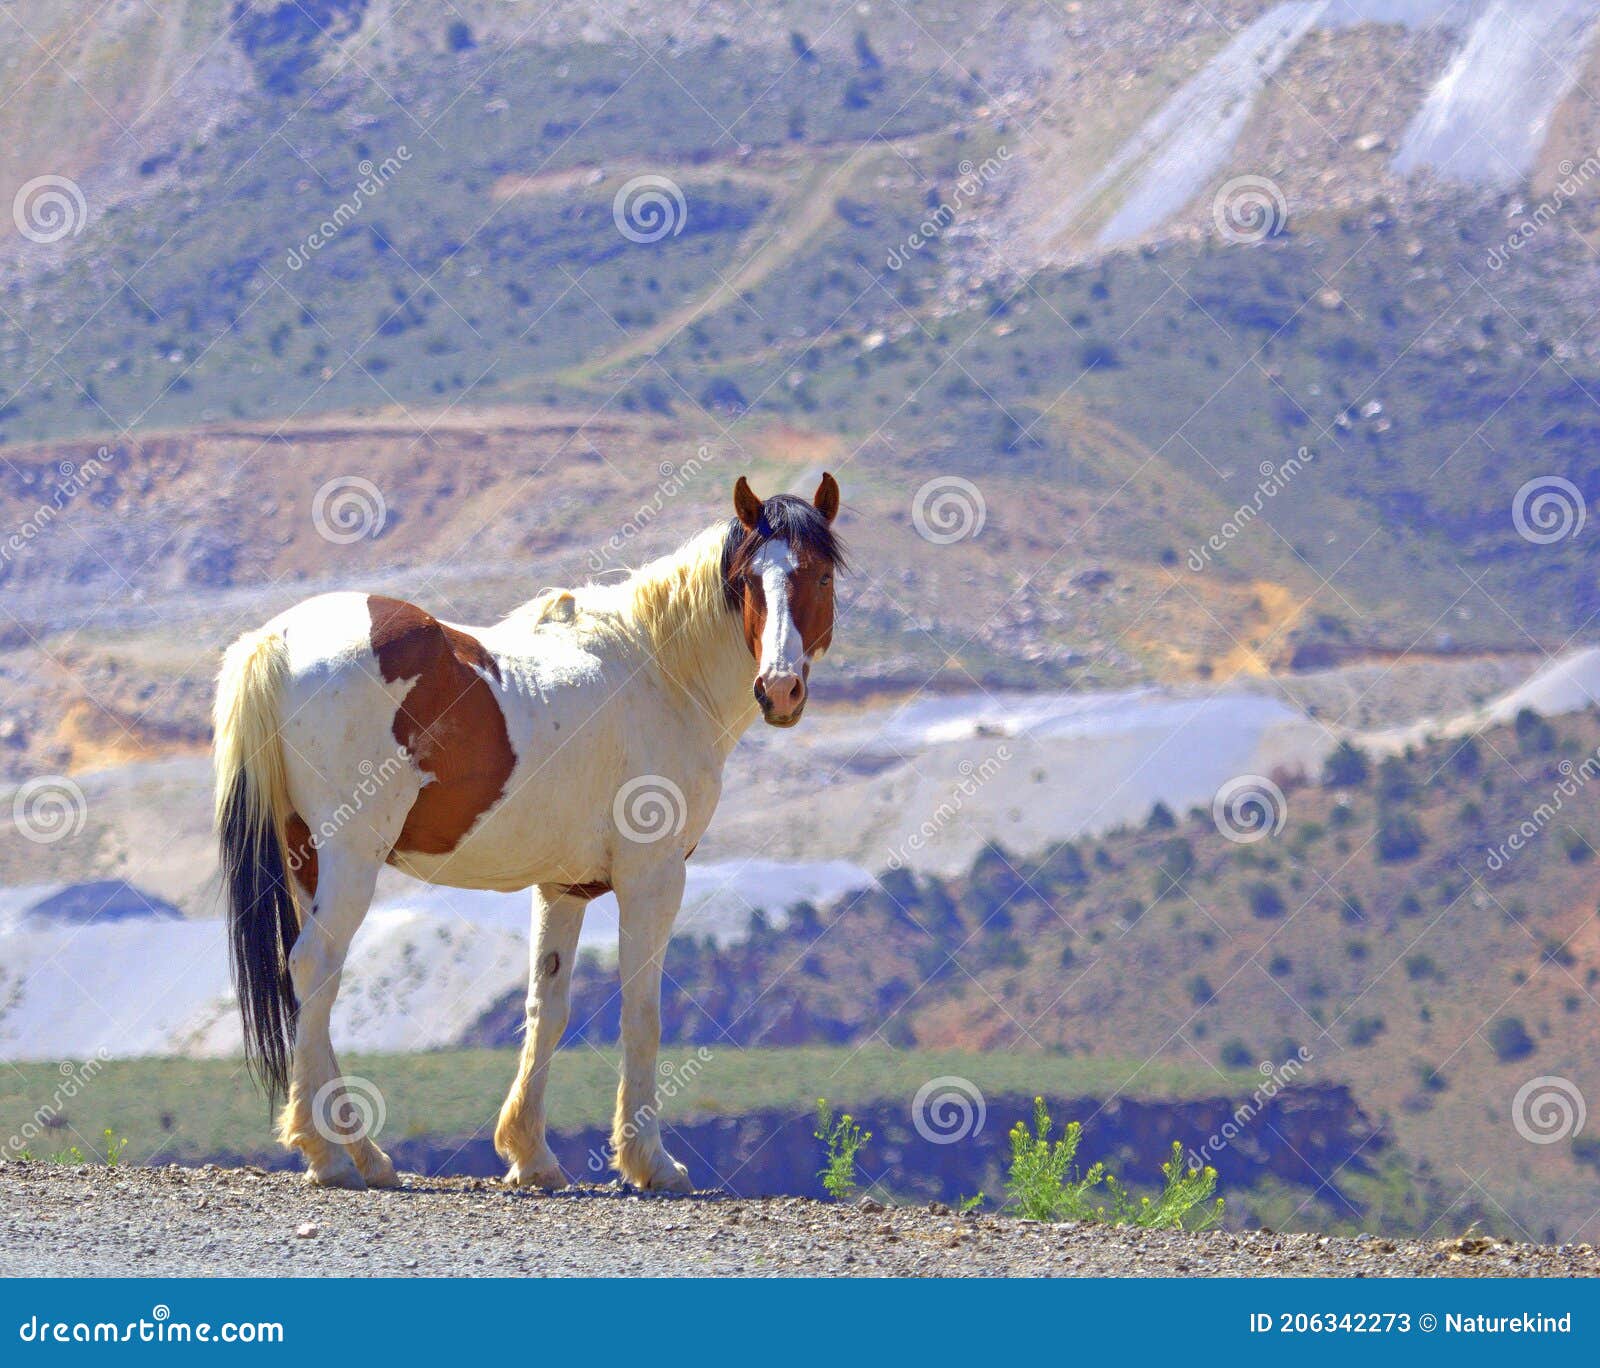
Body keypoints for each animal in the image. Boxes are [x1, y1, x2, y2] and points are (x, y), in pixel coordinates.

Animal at [212, 474, 843, 1191]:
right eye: (748, 580)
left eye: (821, 575)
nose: (780, 689)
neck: (658, 670)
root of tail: (277, 640)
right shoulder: (653, 878)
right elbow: (641, 1015)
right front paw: (651, 1162)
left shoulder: (563, 888)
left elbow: (548, 1009)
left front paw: (531, 1154)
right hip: (350, 858)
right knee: (316, 965)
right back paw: (329, 1155)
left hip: (306, 864)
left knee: (310, 988)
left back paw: (363, 1153)